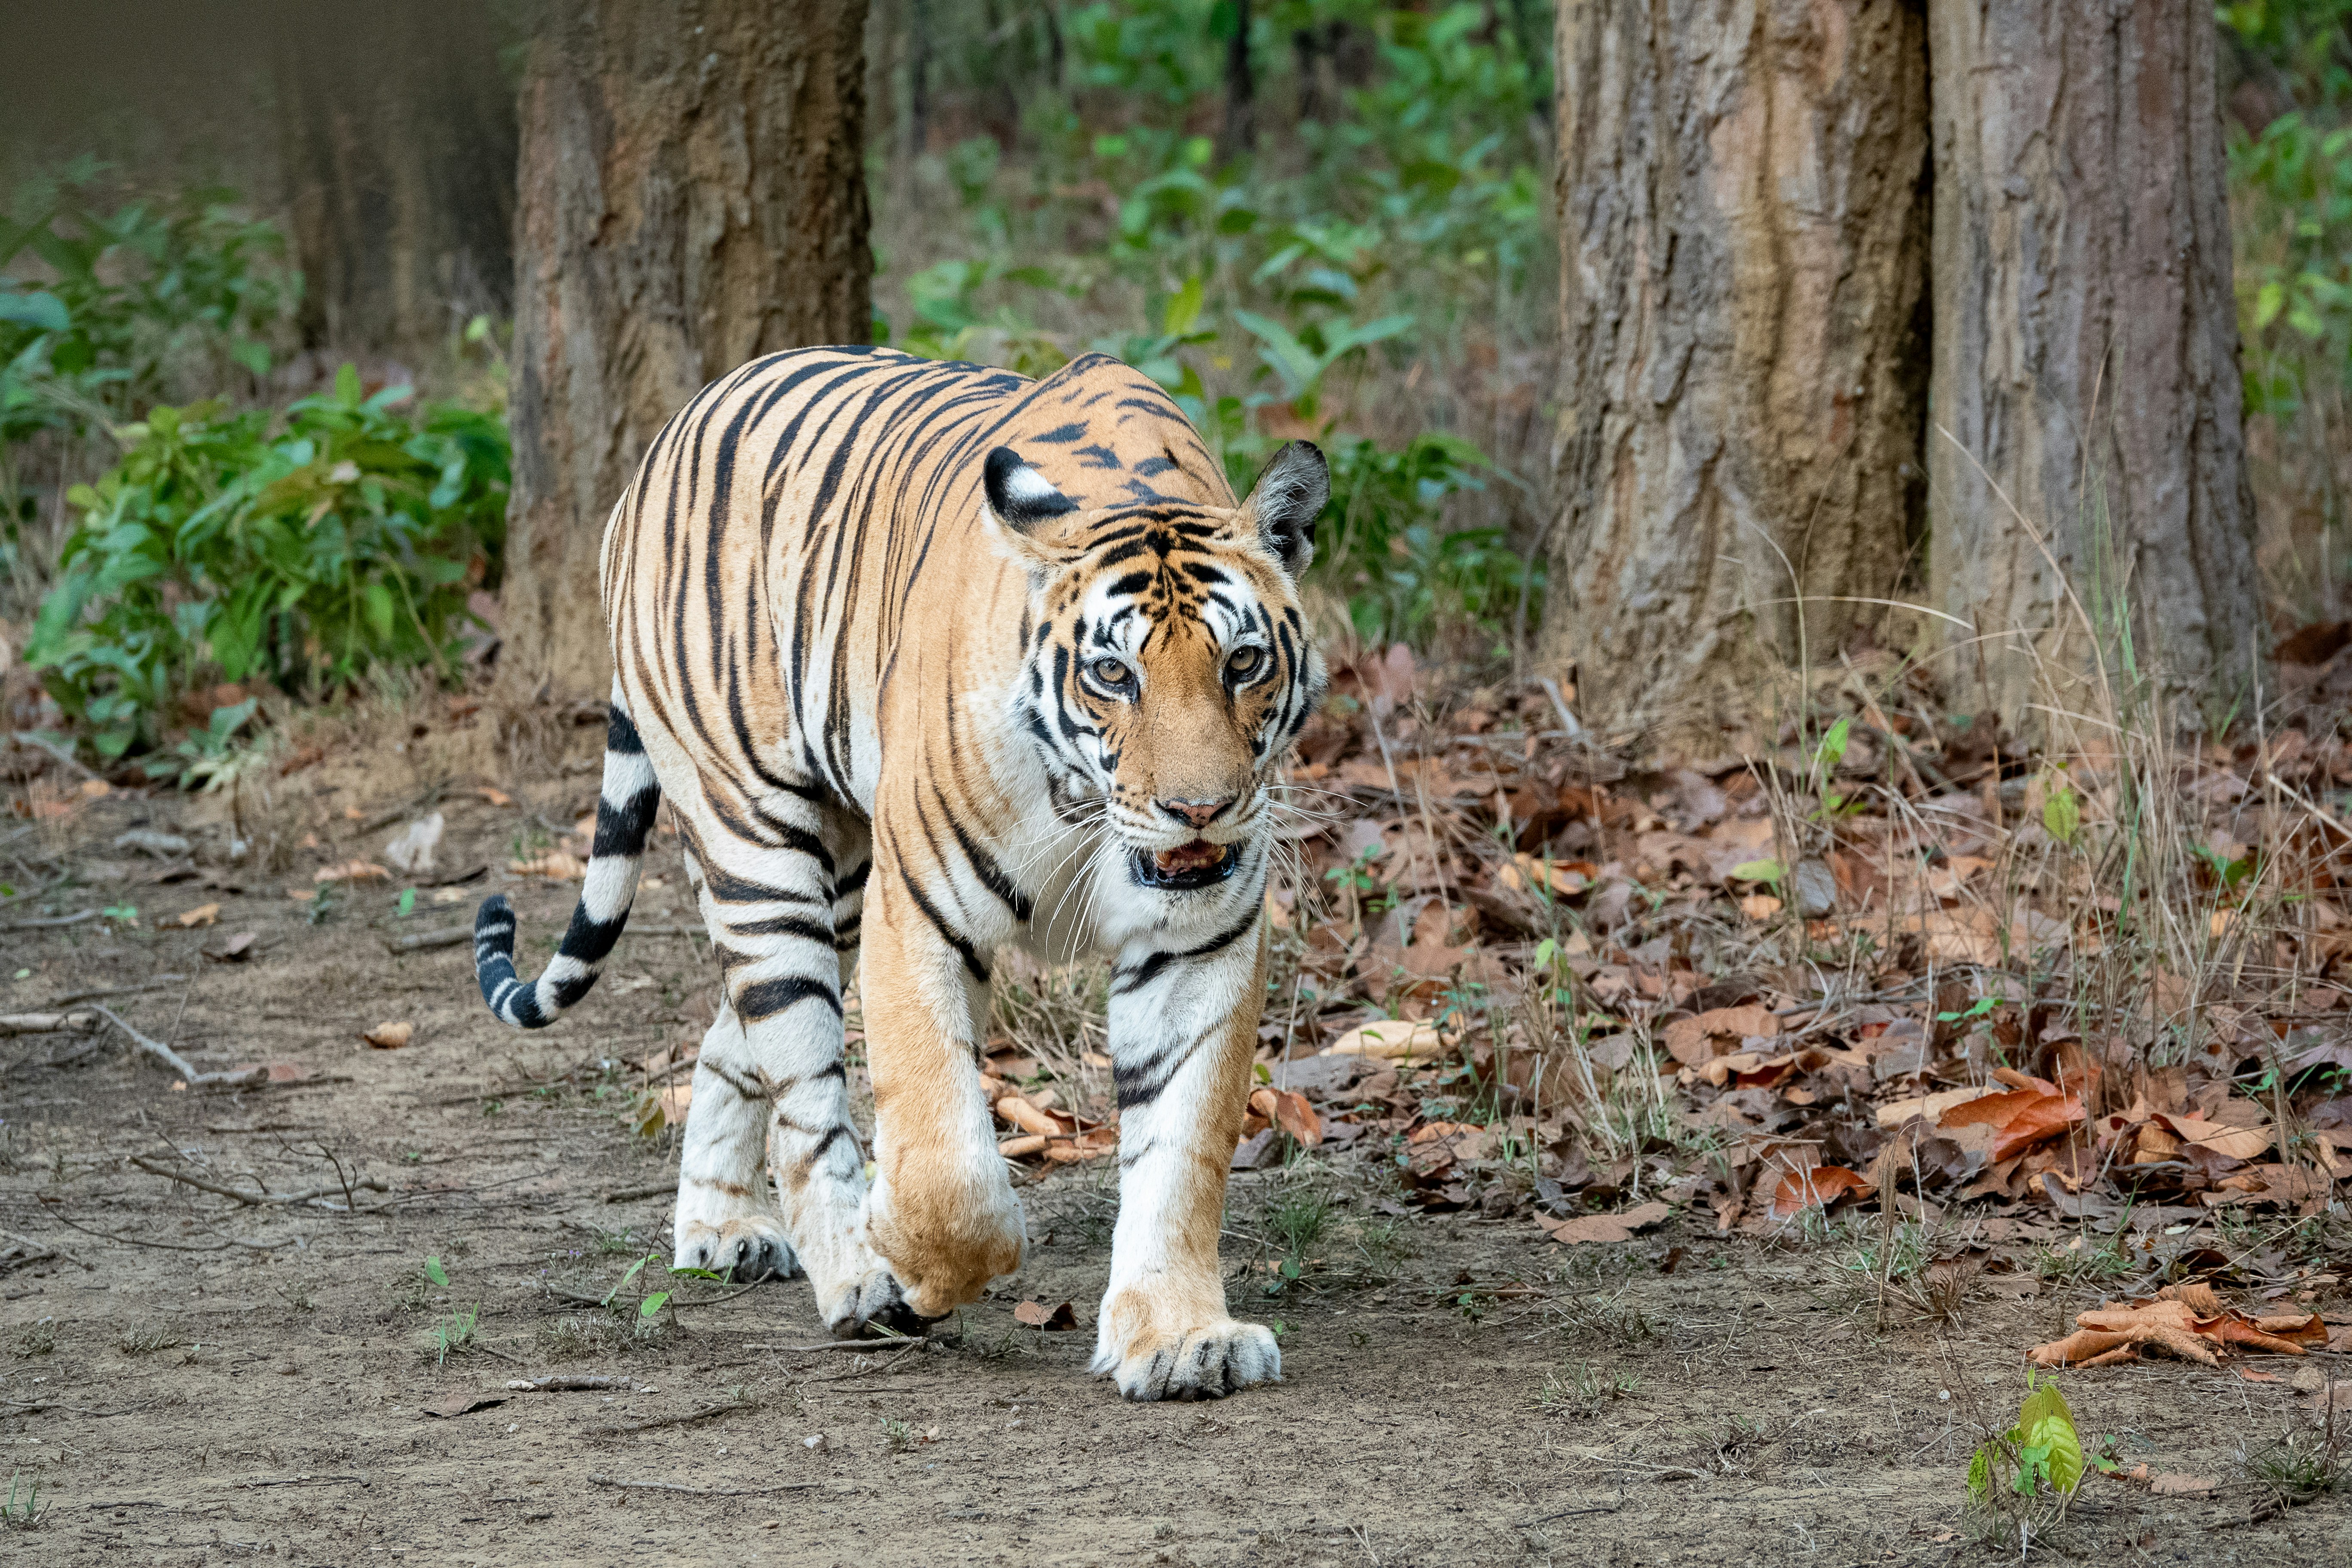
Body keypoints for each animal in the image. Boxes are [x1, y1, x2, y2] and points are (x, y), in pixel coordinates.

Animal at [471, 346, 1328, 1401]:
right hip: (763, 852)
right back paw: (857, 1280)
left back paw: (721, 1226)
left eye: (1242, 663)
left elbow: (1183, 1148)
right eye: (1112, 676)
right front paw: (919, 1267)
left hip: (836, 886)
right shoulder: (917, 910)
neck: (1084, 802)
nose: (1199, 810)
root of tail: (676, 427)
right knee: (801, 1096)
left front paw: (1178, 1338)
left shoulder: (1199, 941)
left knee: (732, 1036)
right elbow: (946, 1165)